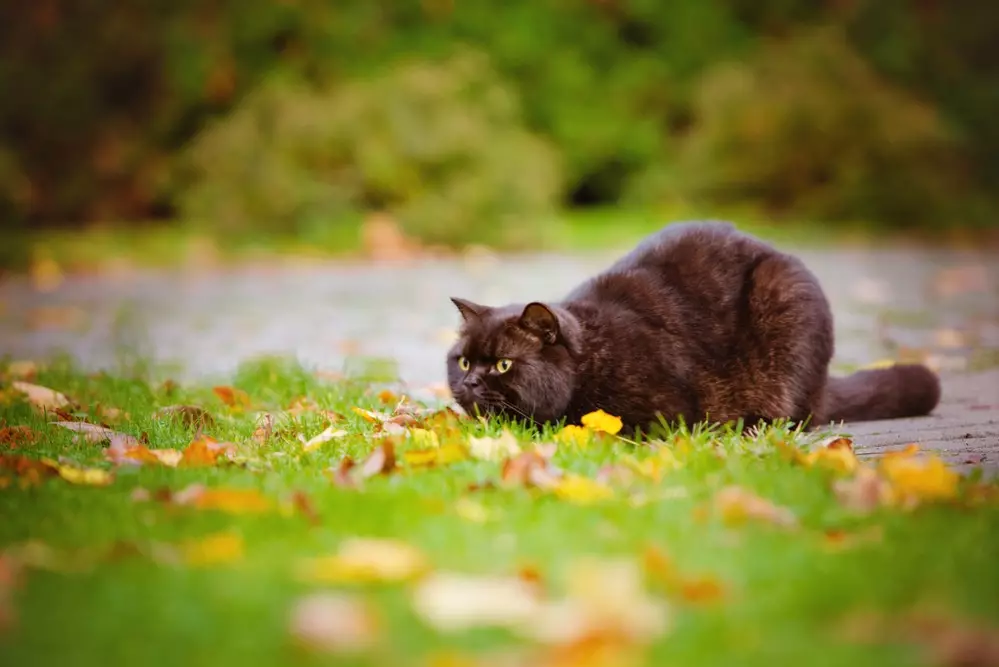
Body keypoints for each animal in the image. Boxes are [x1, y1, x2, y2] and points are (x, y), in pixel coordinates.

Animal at [450, 222, 940, 436]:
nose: (471, 381)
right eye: (465, 362)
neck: (593, 359)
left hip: (783, 297)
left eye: (504, 364)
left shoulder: (663, 415)